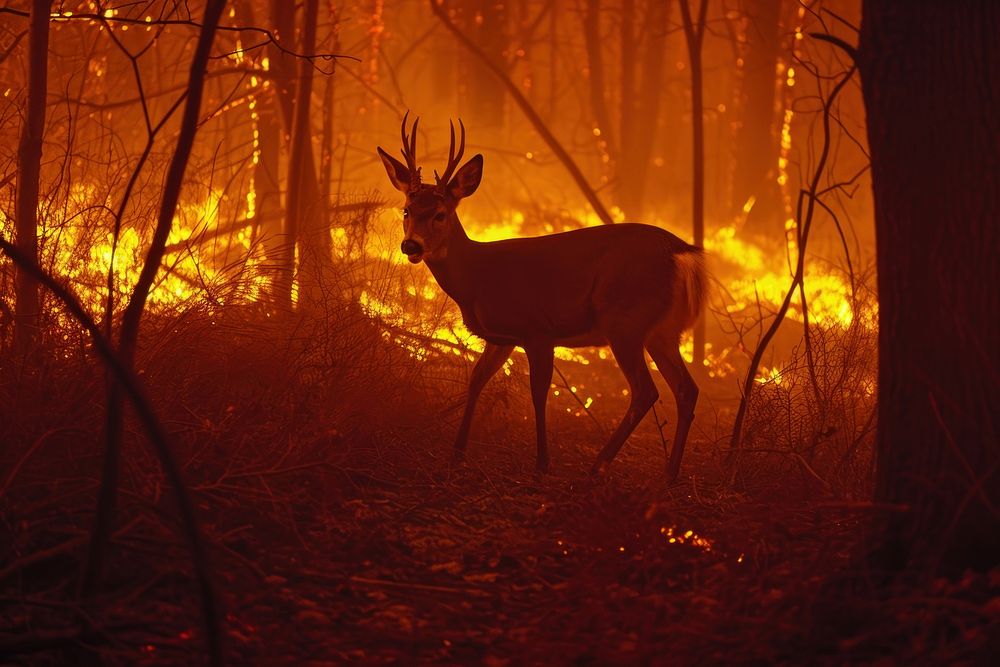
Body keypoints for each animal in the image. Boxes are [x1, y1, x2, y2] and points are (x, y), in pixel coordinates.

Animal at [377, 115, 706, 482]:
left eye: (440, 213)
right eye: (406, 210)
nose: (411, 245)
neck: (477, 277)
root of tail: (680, 251)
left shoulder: (538, 330)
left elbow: (538, 393)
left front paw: (542, 464)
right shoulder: (503, 337)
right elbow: (476, 380)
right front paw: (456, 454)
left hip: (624, 322)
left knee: (646, 390)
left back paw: (599, 464)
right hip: (661, 332)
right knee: (686, 388)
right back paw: (669, 475)